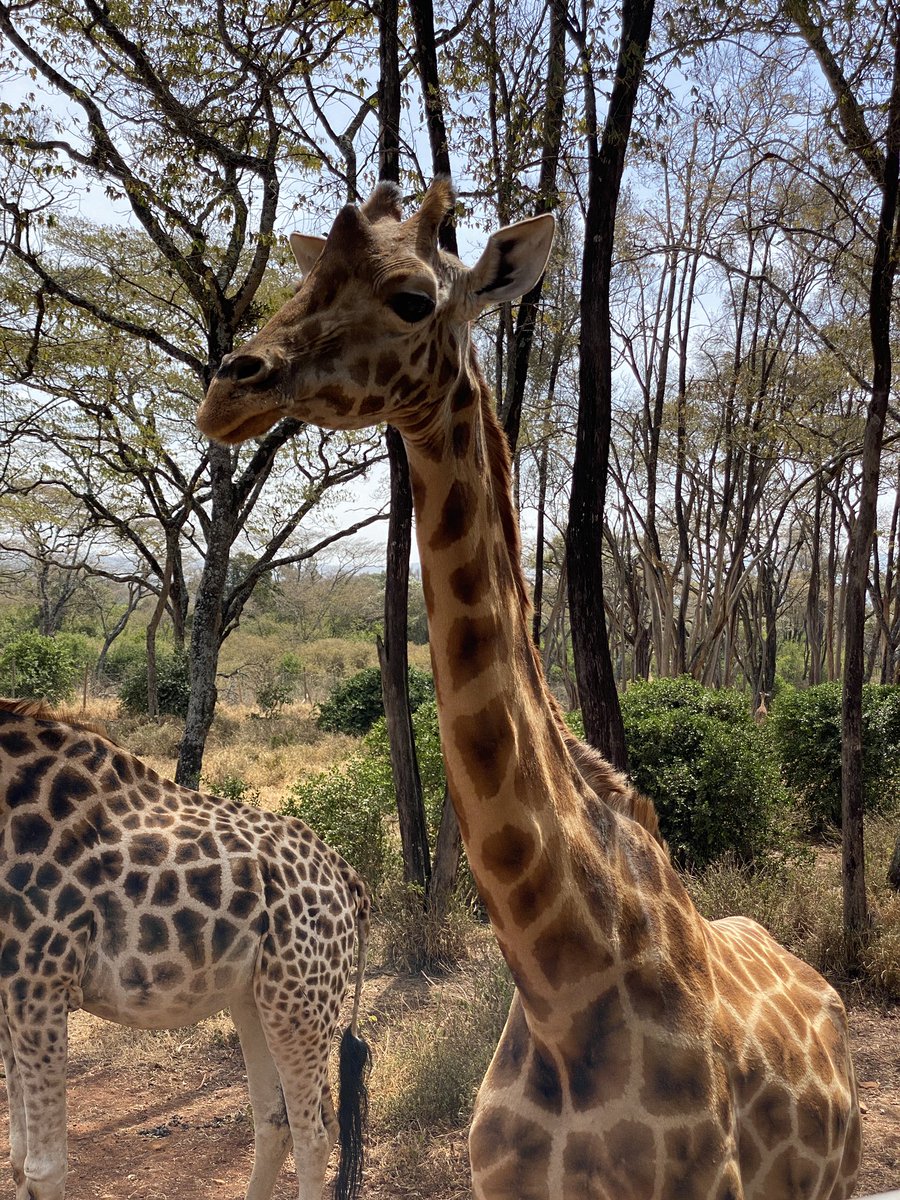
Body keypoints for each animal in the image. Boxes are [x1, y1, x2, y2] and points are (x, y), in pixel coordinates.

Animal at [0, 698, 370, 1200]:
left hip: (302, 999)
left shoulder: (40, 984)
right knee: (281, 1120)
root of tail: (348, 878)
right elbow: (17, 1160)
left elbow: (43, 1169)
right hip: (259, 997)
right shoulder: (8, 995)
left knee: (313, 1135)